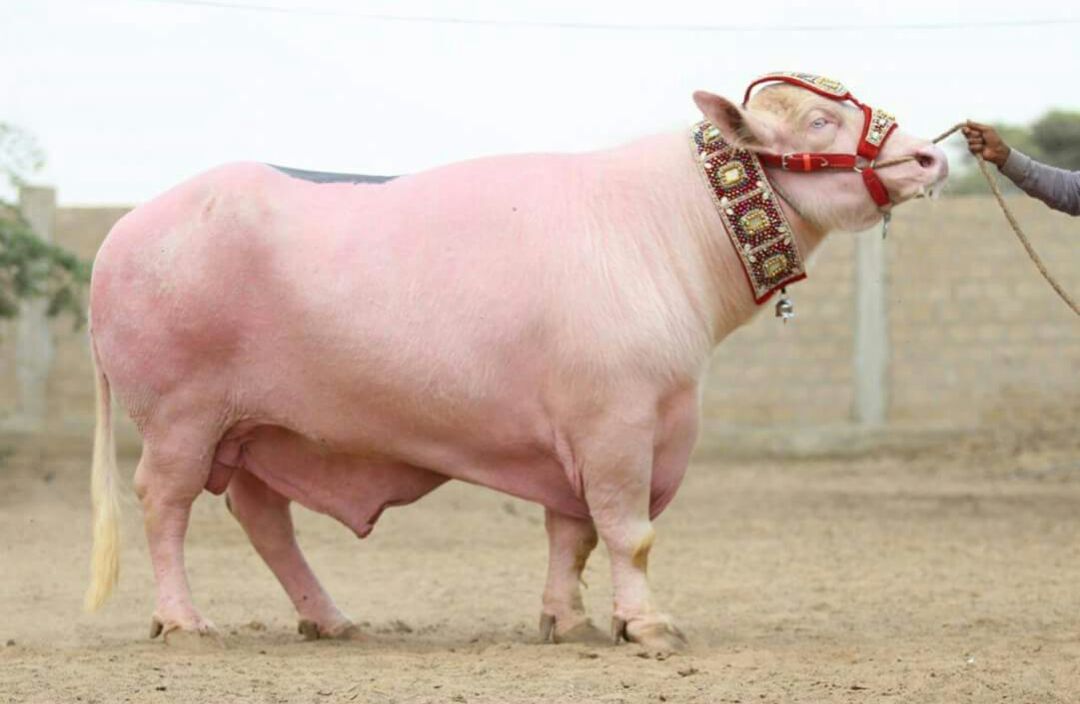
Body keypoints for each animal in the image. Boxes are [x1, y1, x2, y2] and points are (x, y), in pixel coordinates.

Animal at [84, 73, 947, 652]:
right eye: (820, 118)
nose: (928, 159)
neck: (666, 231)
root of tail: (120, 234)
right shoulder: (617, 423)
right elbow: (628, 532)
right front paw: (648, 625)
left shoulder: (576, 437)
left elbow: (573, 534)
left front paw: (567, 621)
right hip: (182, 418)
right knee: (164, 505)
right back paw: (185, 621)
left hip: (264, 430)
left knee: (265, 520)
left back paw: (331, 619)